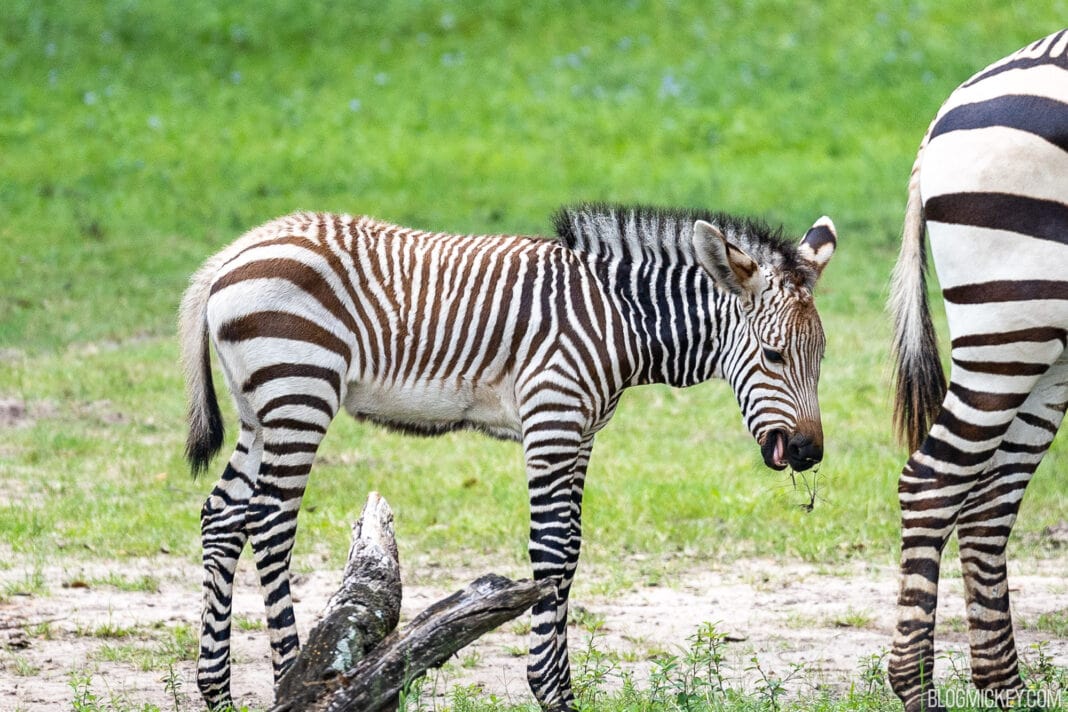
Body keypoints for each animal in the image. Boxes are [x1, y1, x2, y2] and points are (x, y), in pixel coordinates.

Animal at [179, 203, 837, 710]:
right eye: (774, 355)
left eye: (822, 356)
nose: (809, 453)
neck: (621, 319)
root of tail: (233, 252)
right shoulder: (553, 420)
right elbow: (551, 552)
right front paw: (549, 689)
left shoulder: (582, 432)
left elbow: (570, 551)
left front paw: (559, 687)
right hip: (300, 394)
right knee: (270, 524)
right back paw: (295, 677)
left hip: (261, 410)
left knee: (222, 516)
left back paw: (218, 692)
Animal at [888, 29, 1068, 712]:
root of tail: (947, 108)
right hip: (1011, 321)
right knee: (934, 483)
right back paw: (917, 687)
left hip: (1048, 345)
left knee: (989, 499)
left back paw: (1005, 687)